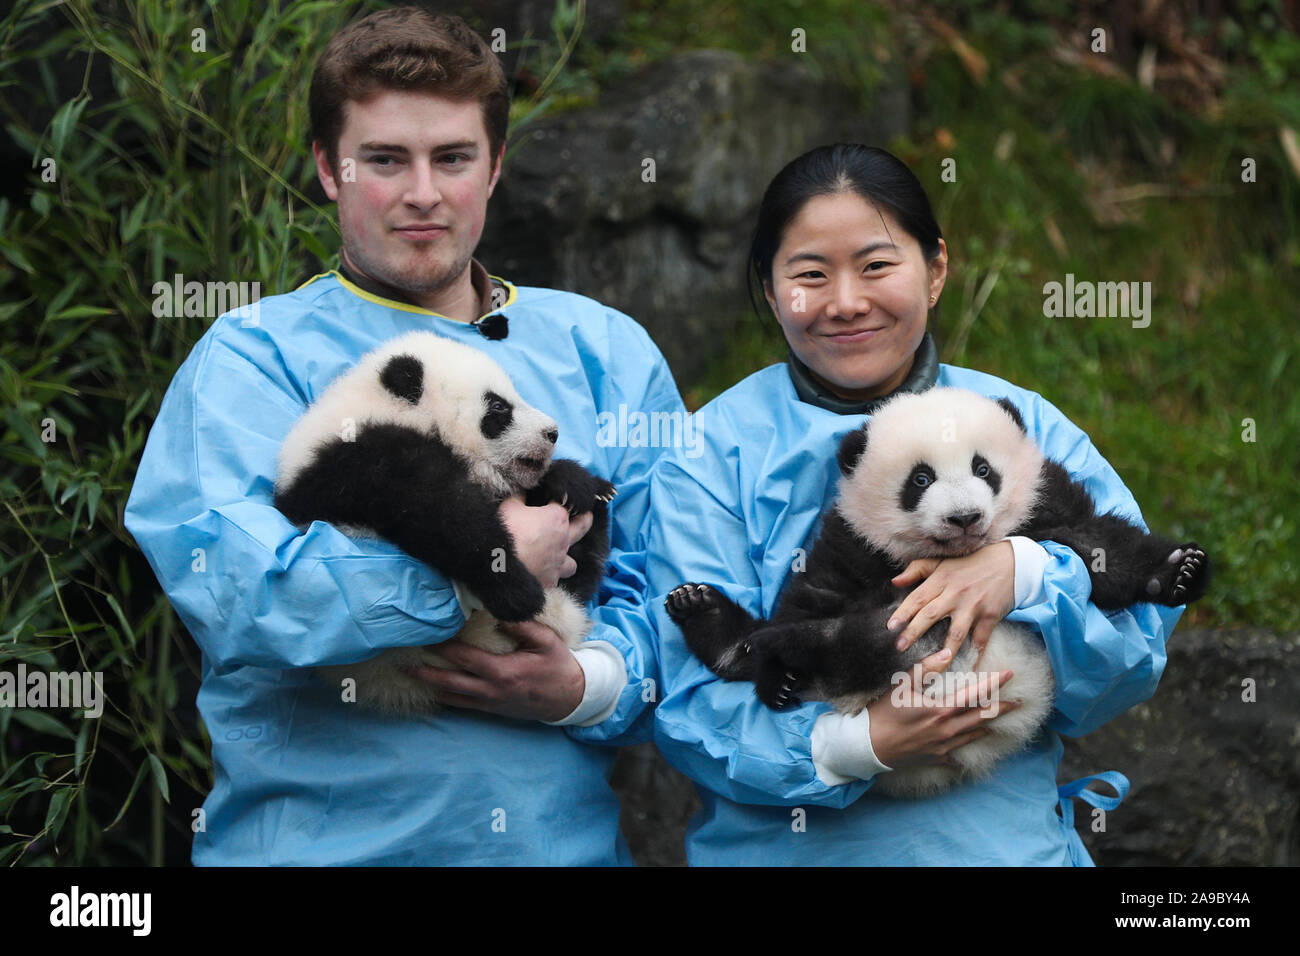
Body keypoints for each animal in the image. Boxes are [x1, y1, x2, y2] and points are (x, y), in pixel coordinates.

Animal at [274, 330, 615, 714]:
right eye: (499, 407)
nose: (552, 432)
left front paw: (574, 483)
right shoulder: (358, 460)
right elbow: (441, 513)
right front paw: (515, 589)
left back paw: (594, 495)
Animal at [666, 386, 1209, 796]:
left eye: (983, 469)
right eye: (920, 479)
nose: (964, 518)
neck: (954, 557)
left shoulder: (1044, 501)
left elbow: (1098, 546)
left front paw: (1180, 572)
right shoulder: (854, 543)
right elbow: (815, 592)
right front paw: (773, 662)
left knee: (862, 643)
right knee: (835, 642)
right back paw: (726, 628)